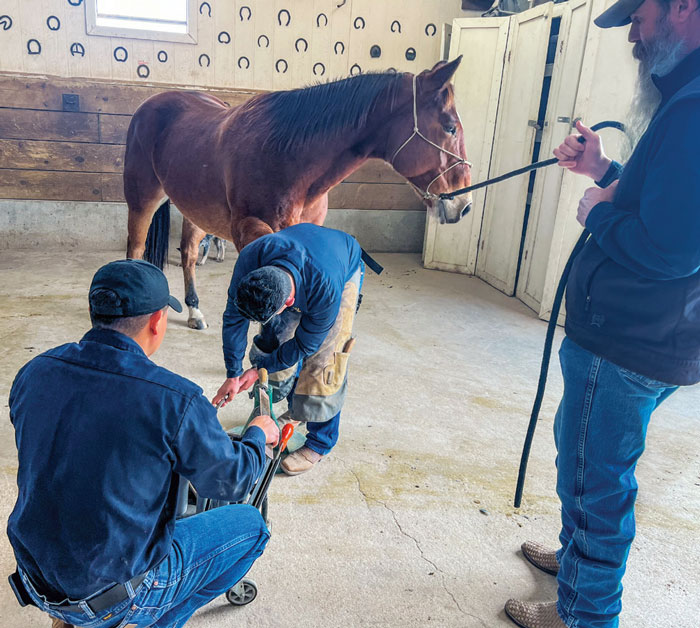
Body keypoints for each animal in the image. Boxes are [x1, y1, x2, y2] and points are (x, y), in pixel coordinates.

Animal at [124, 56, 472, 330]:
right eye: (450, 127)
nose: (464, 204)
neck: (288, 155)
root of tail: (150, 105)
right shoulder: (248, 230)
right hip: (142, 200)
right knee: (136, 248)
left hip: (196, 211)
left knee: (190, 255)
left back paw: (195, 311)